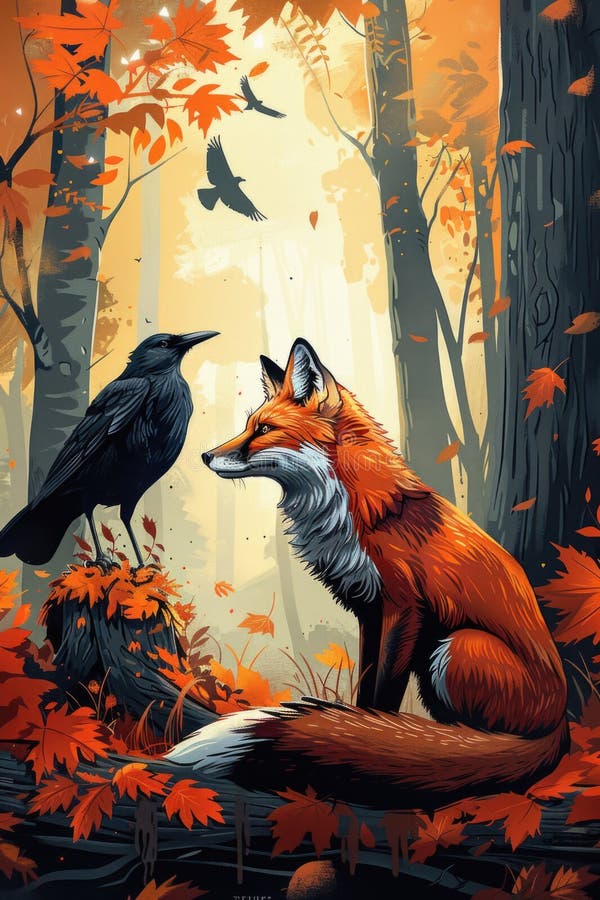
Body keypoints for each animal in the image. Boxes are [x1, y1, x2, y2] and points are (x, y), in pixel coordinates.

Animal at [167, 338, 569, 808]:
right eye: (249, 425)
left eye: (264, 429)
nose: (205, 455)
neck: (349, 513)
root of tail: (560, 722)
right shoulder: (369, 610)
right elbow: (365, 685)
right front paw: (363, 730)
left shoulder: (404, 609)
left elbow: (384, 693)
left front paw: (381, 740)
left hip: (455, 646)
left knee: (485, 736)